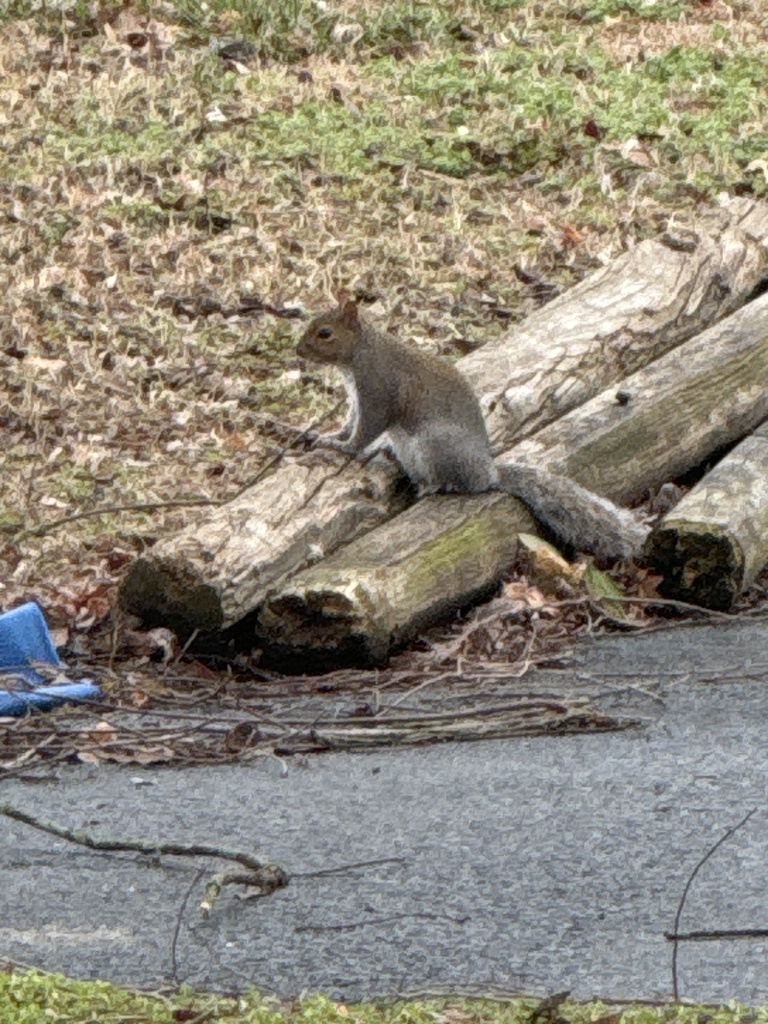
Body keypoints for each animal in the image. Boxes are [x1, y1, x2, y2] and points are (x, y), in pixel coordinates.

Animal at [297, 296, 649, 563]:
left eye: (325, 333)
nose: (298, 350)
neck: (360, 353)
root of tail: (489, 471)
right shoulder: (357, 399)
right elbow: (349, 422)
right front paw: (328, 436)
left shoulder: (378, 393)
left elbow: (363, 431)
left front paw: (341, 447)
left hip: (435, 445)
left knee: (463, 484)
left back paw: (434, 487)